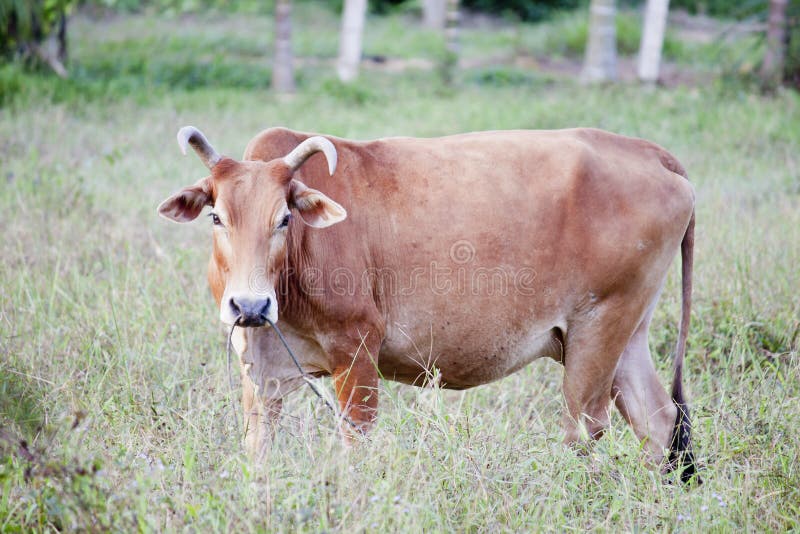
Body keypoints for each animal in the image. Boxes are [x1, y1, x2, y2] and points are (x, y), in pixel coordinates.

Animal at [158, 125, 698, 481]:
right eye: (216, 217)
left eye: (284, 219)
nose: (250, 306)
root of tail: (649, 152)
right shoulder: (261, 368)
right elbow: (259, 448)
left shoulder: (357, 350)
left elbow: (355, 443)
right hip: (626, 336)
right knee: (658, 424)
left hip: (596, 331)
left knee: (584, 430)